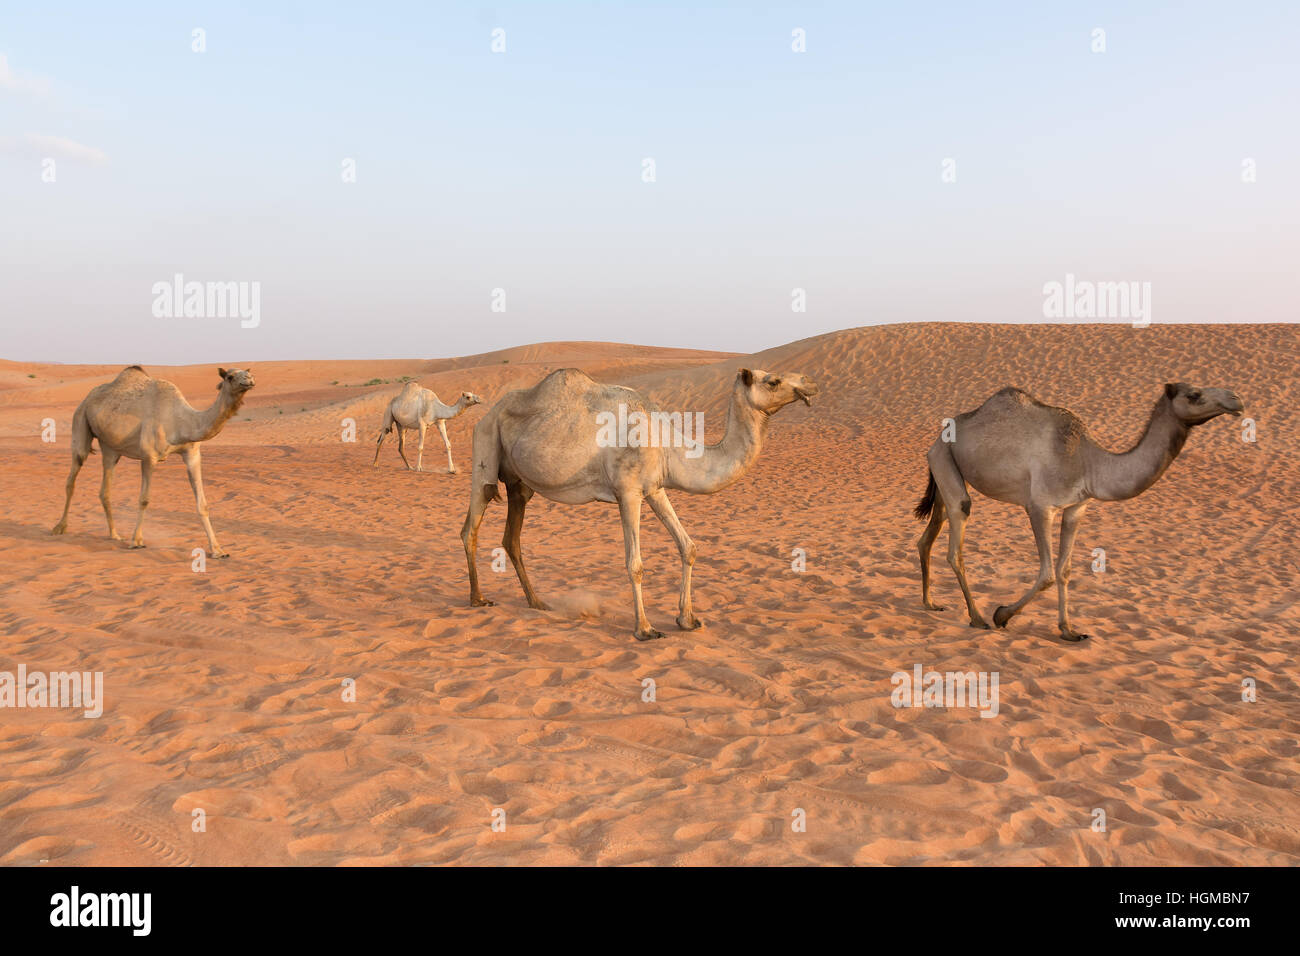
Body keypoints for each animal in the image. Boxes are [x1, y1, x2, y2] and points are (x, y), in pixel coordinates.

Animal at [52, 365, 256, 556]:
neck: (182, 422)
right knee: (73, 476)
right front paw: (136, 541)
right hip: (80, 420)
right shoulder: (148, 456)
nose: (249, 379)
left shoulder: (192, 454)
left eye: (247, 372)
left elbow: (202, 504)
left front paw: (218, 550)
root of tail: (87, 398)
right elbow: (144, 499)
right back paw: (60, 527)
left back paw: (115, 534)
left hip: (110, 448)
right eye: (230, 376)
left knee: (105, 490)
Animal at [461, 366, 819, 641]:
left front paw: (687, 619)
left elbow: (688, 546)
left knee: (512, 537)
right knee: (471, 527)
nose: (811, 382)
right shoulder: (629, 491)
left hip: (519, 484)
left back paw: (537, 602)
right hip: (485, 446)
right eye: (773, 380)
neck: (666, 441)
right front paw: (644, 629)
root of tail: (488, 413)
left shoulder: (655, 488)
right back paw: (478, 598)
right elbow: (635, 564)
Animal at [914, 382, 1244, 641]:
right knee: (957, 540)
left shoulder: (1076, 508)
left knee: (927, 537)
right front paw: (1002, 615)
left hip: (944, 472)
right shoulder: (1040, 506)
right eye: (1194, 394)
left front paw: (1069, 630)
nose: (1236, 399)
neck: (1088, 462)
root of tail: (940, 435)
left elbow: (1065, 570)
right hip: (944, 460)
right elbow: (1047, 573)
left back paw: (930, 603)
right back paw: (977, 617)